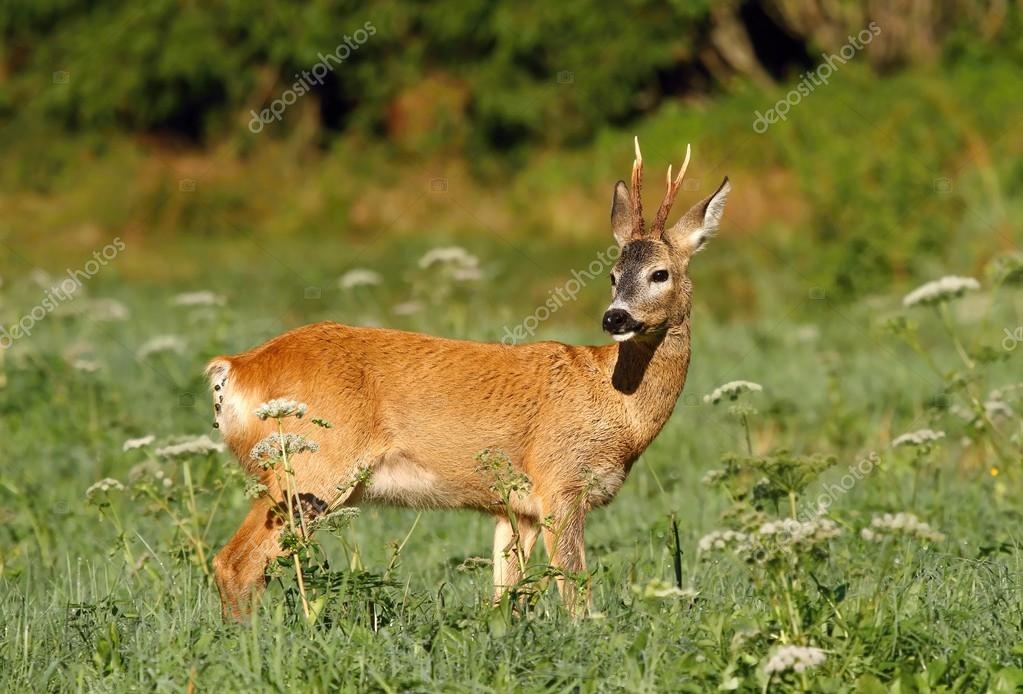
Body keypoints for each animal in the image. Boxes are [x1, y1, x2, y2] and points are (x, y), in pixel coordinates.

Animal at [207, 138, 730, 619]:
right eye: (613, 275)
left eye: (659, 273)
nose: (615, 317)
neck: (616, 405)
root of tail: (235, 368)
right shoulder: (560, 481)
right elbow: (575, 594)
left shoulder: (517, 509)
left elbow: (505, 599)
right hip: (309, 464)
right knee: (236, 563)